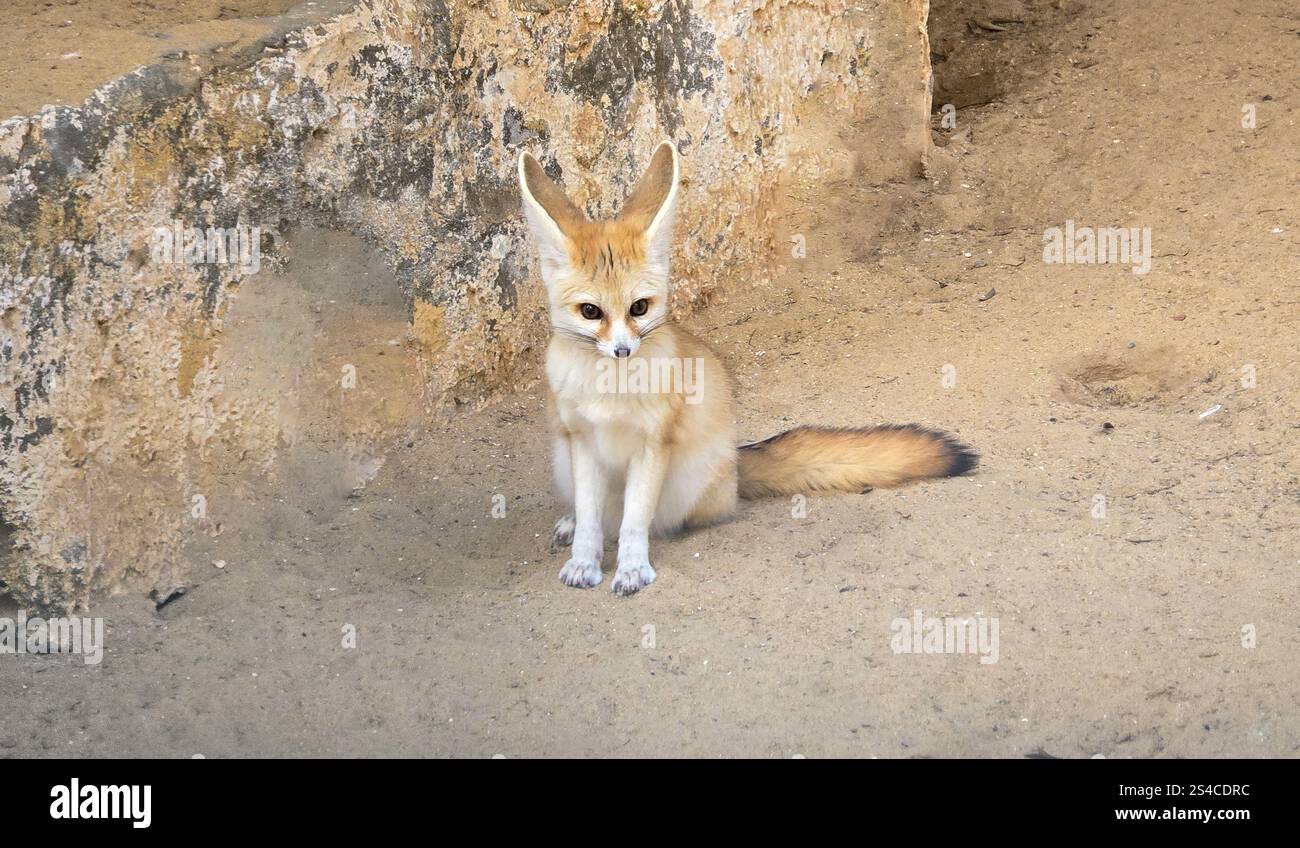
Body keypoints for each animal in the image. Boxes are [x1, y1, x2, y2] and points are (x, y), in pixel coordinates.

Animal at [518, 140, 977, 596]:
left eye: (639, 308)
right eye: (590, 312)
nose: (622, 351)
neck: (609, 390)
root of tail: (736, 464)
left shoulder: (652, 444)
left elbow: (634, 522)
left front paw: (631, 568)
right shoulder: (582, 442)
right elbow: (591, 520)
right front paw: (583, 560)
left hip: (689, 483)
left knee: (649, 518)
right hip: (564, 461)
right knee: (600, 514)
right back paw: (571, 522)